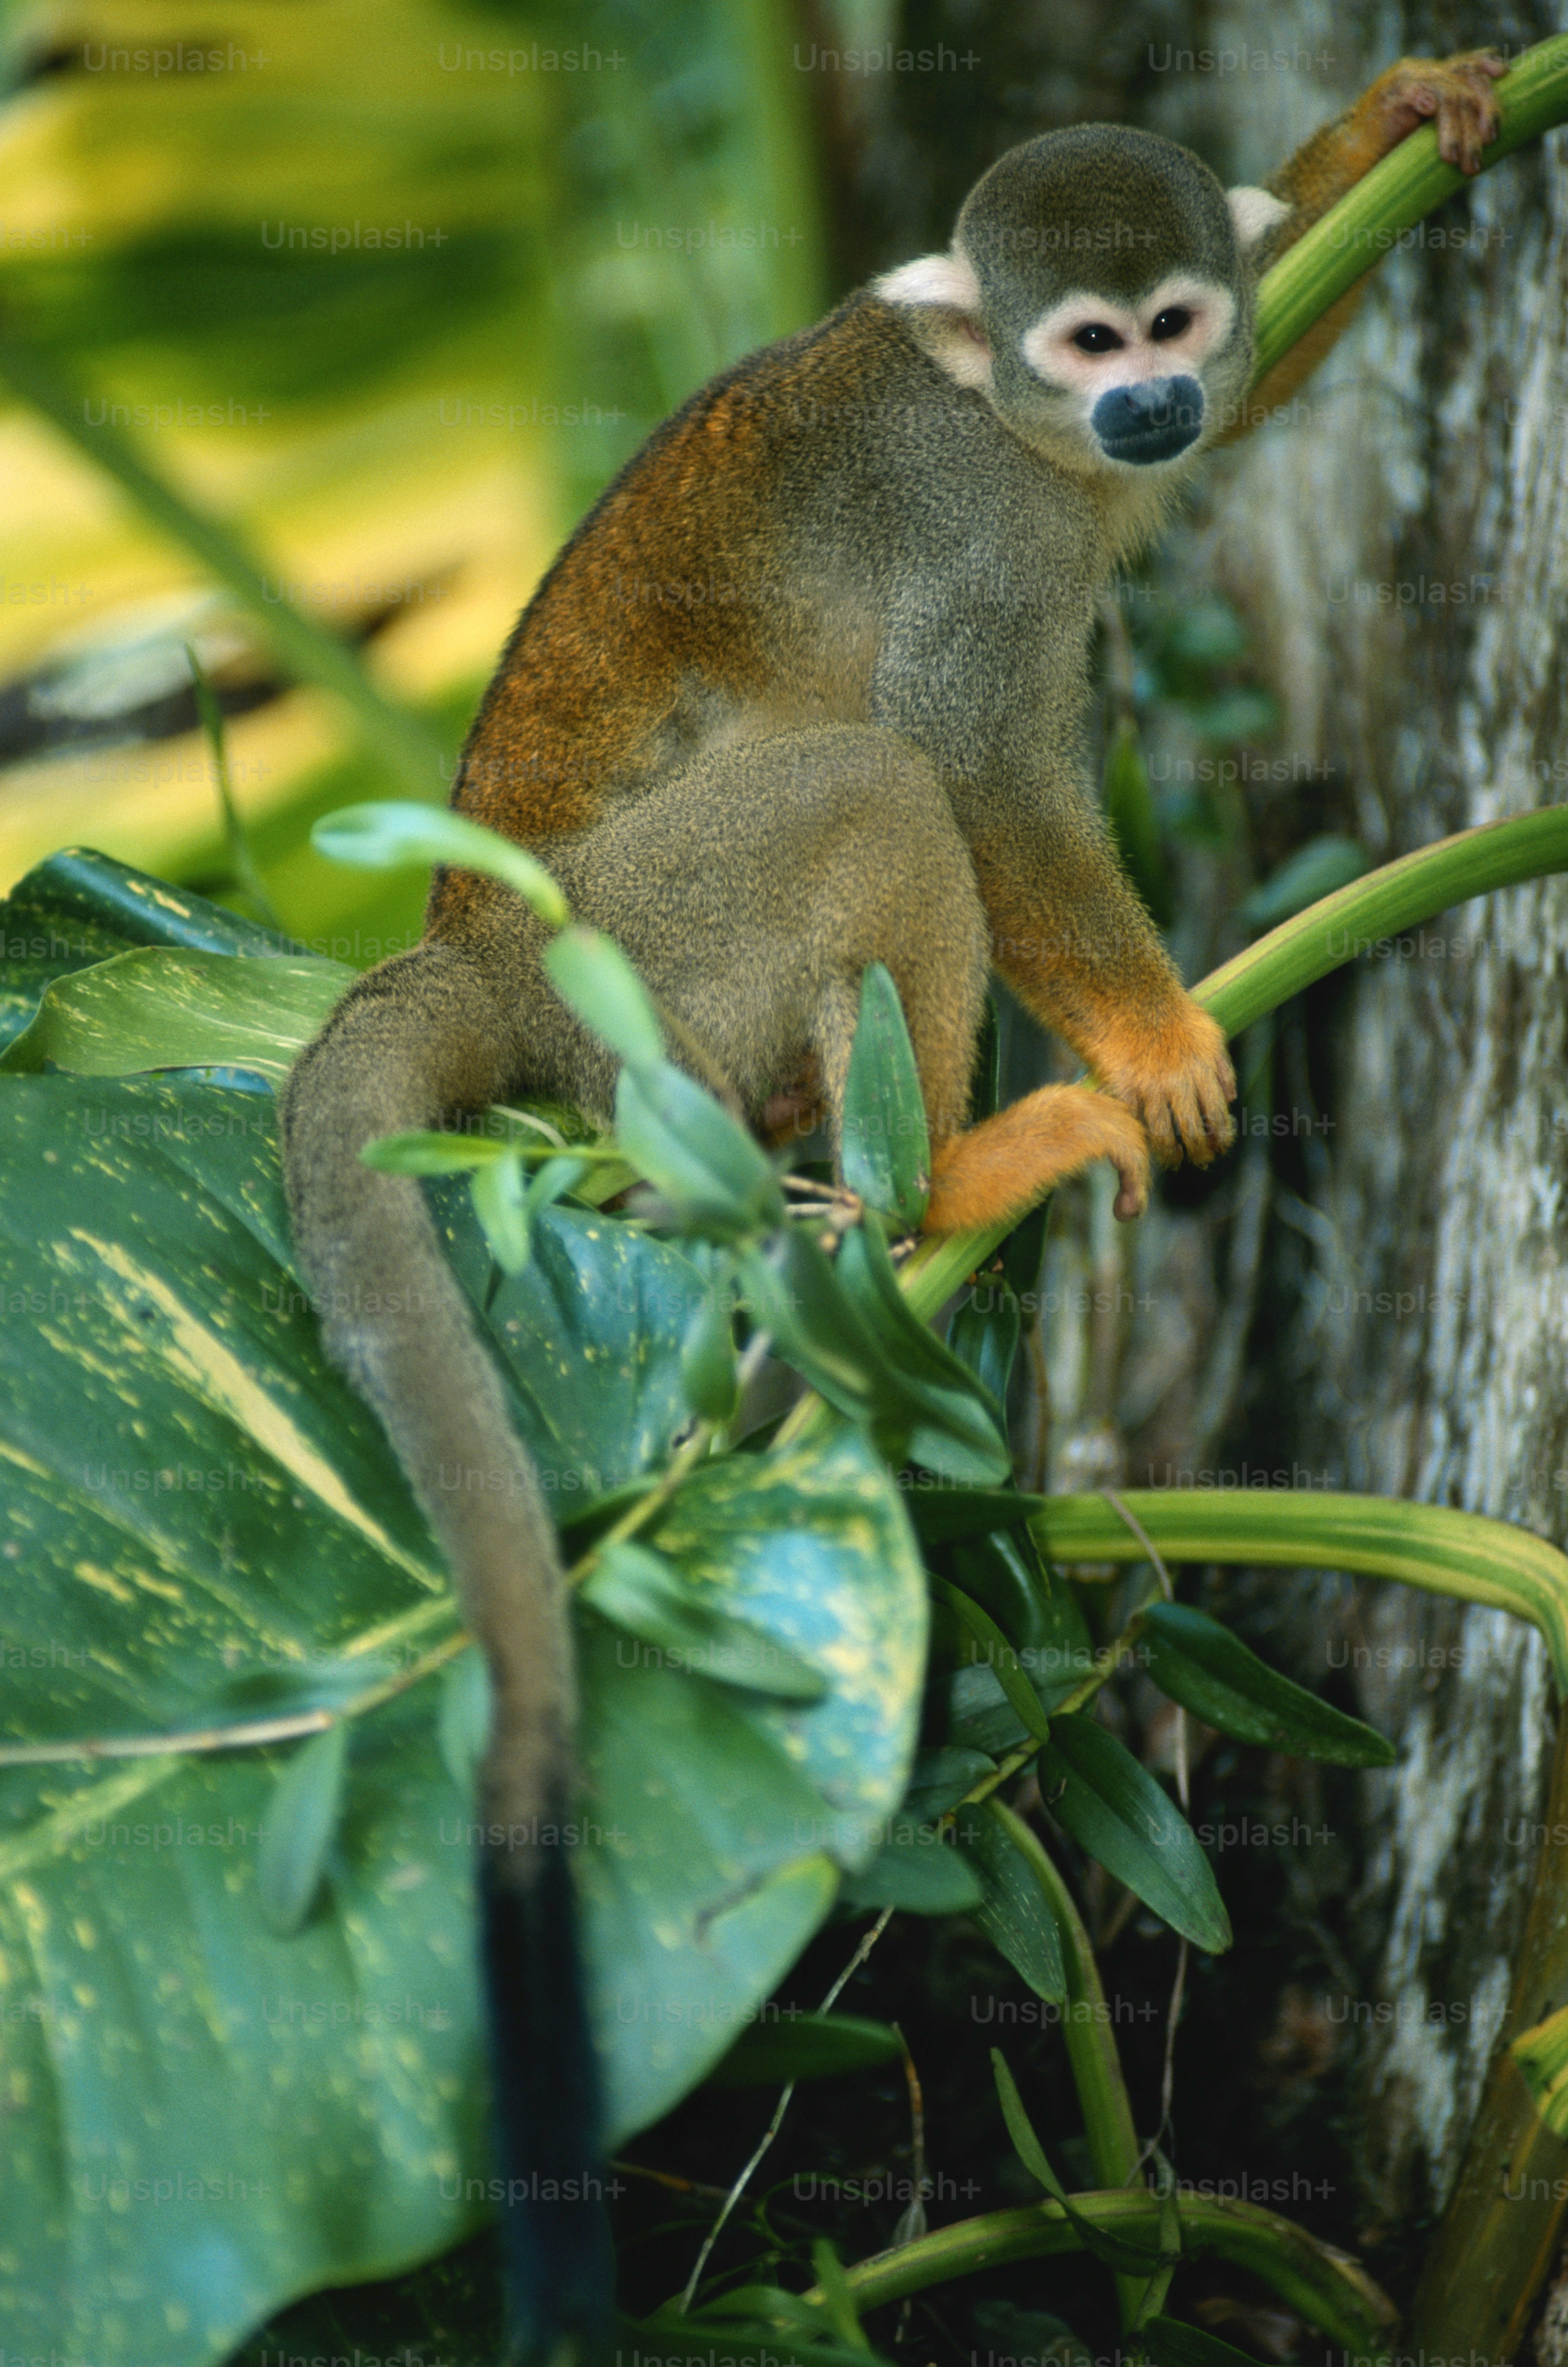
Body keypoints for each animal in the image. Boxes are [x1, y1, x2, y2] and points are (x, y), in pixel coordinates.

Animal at [277, 50, 1503, 2360]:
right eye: (1083, 344)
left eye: (1169, 328)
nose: (1144, 406)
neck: (1009, 431)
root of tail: (469, 950)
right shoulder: (982, 541)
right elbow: (979, 768)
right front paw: (1147, 1039)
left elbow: (1282, 348)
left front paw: (1391, 126)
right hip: (646, 949)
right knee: (870, 783)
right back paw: (944, 1178)